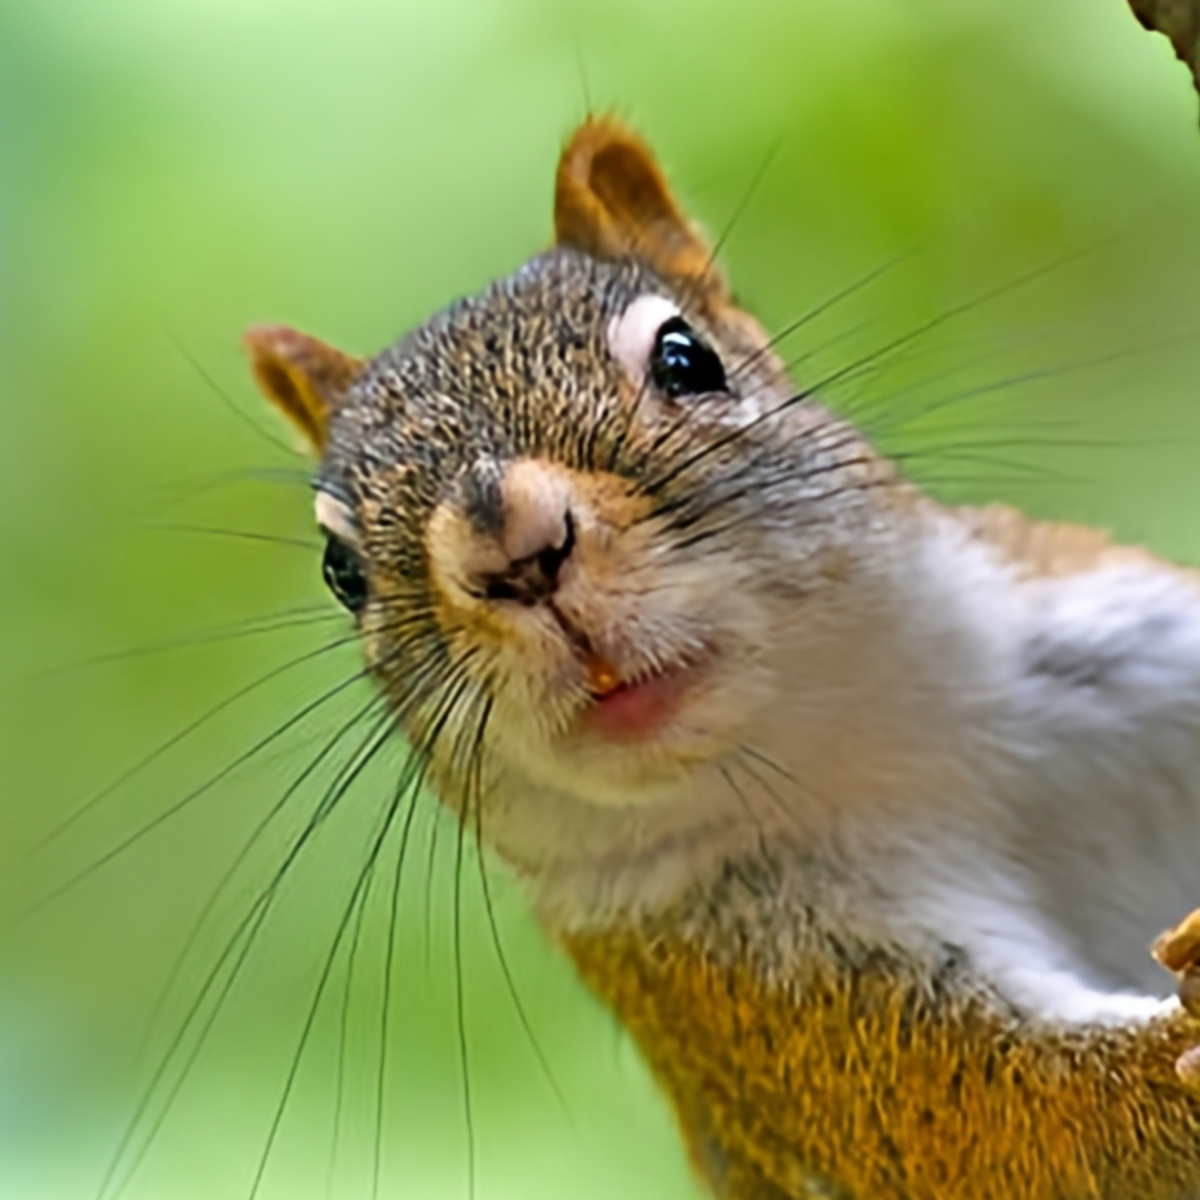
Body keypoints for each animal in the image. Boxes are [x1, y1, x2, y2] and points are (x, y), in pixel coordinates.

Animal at [242, 117, 1200, 1199]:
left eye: (685, 358)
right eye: (340, 569)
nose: (514, 552)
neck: (877, 749)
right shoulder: (769, 999)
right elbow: (1032, 1130)